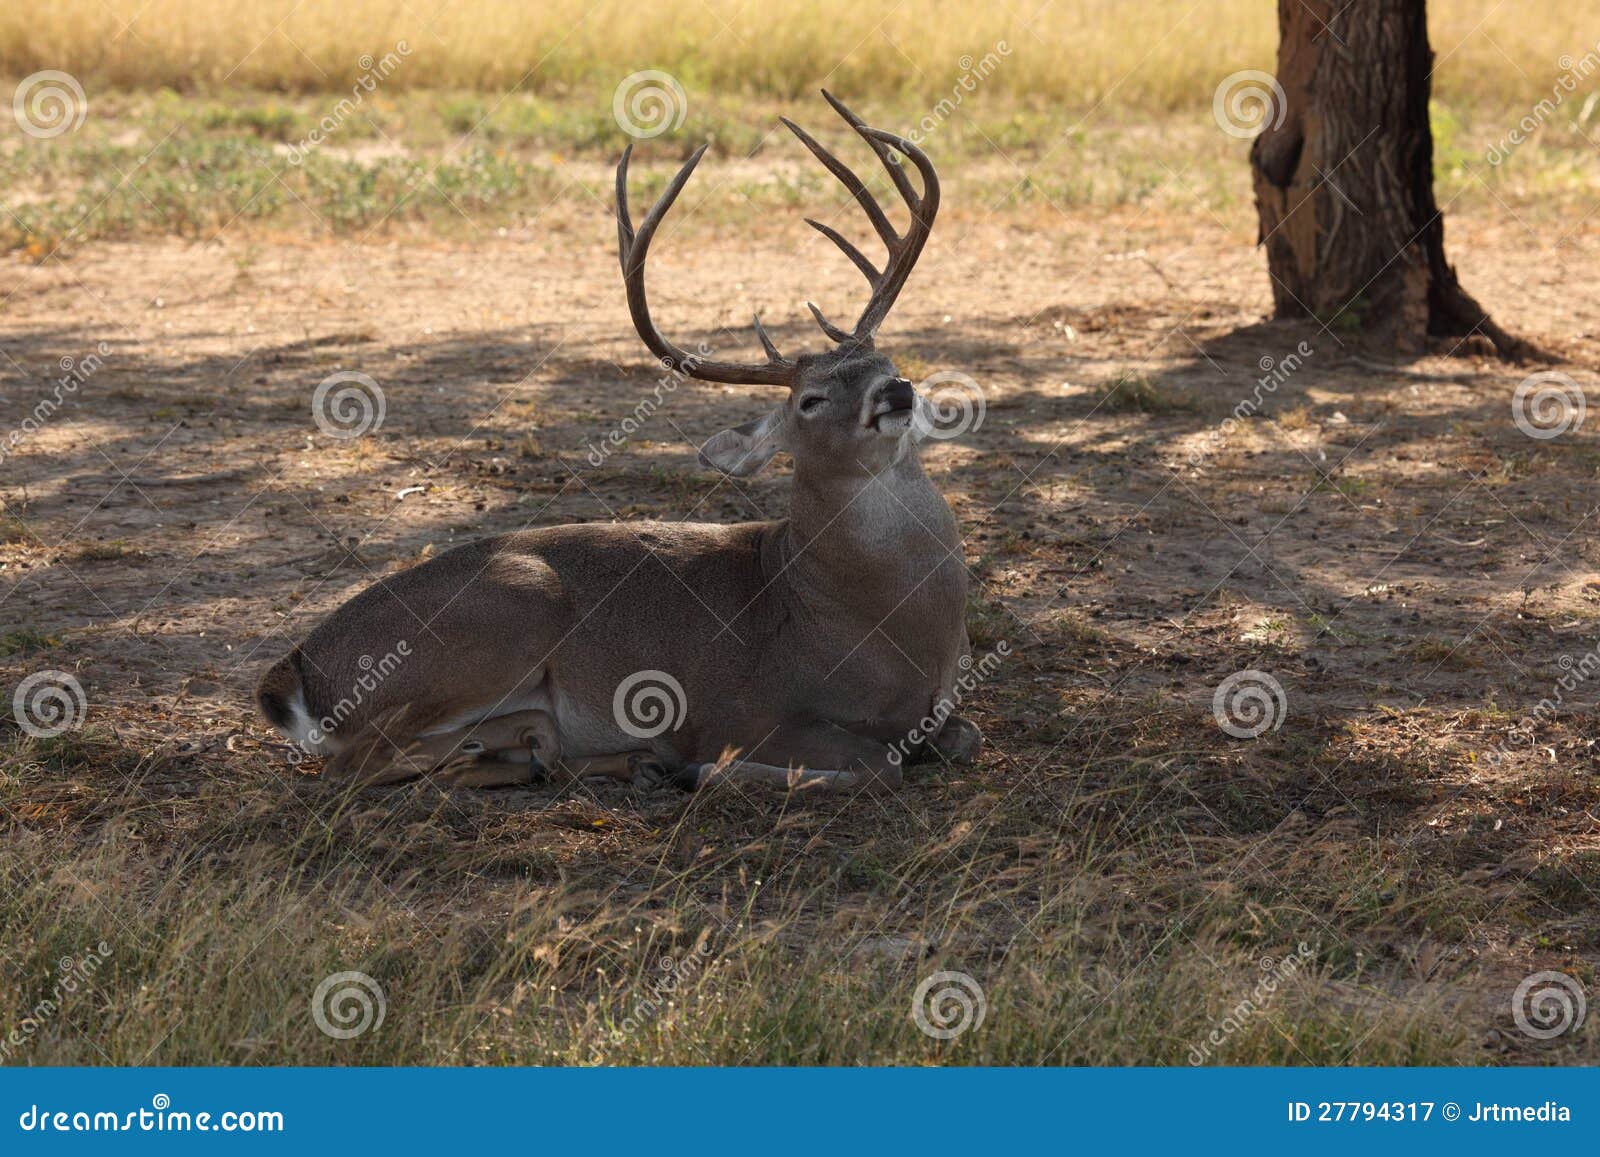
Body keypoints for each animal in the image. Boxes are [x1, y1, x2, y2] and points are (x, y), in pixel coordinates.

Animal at [255, 91, 982, 794]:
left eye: (888, 361)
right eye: (811, 399)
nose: (898, 392)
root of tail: (297, 668)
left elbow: (964, 737)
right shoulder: (745, 709)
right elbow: (876, 767)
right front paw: (702, 769)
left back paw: (587, 759)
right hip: (507, 613)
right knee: (357, 768)